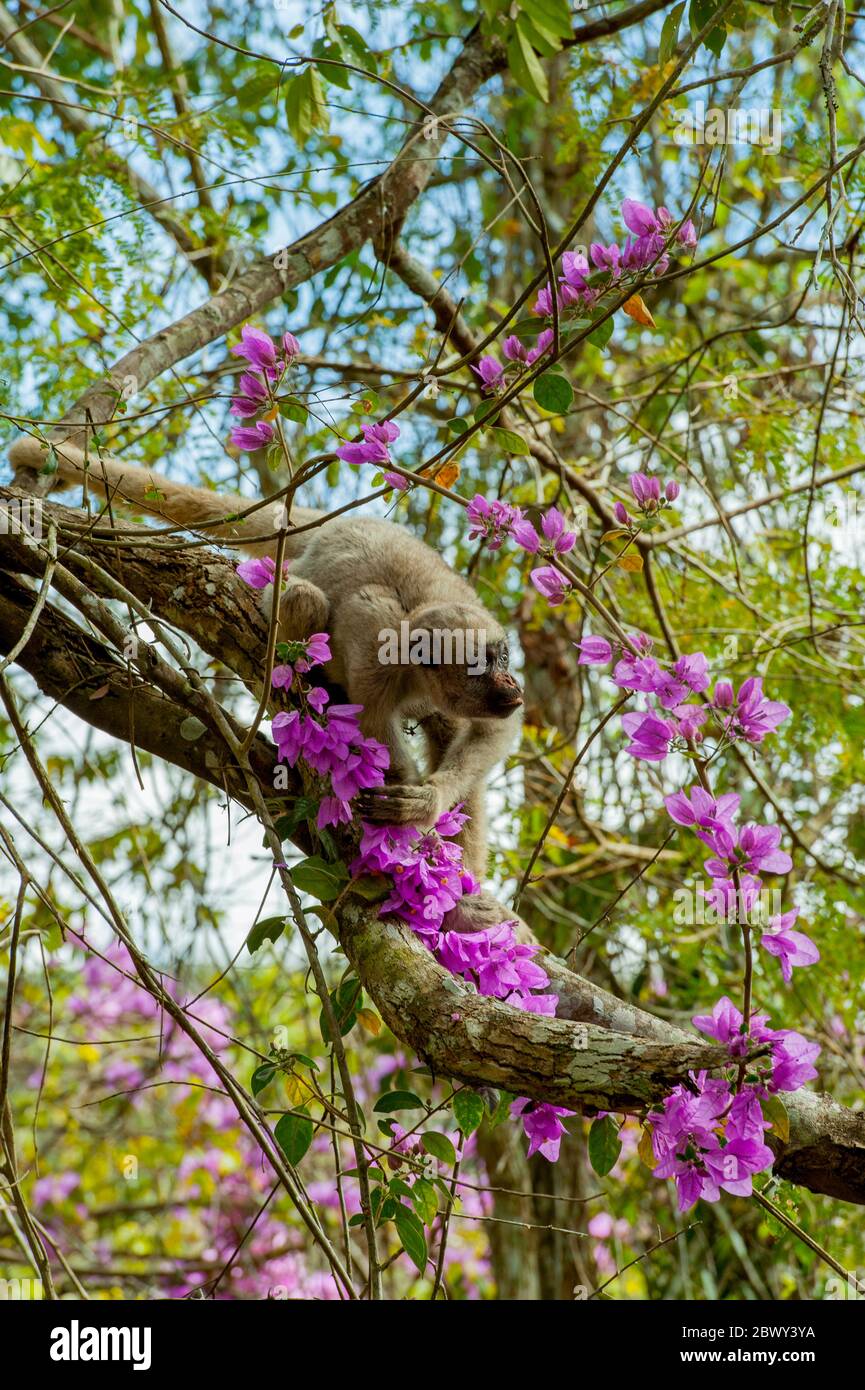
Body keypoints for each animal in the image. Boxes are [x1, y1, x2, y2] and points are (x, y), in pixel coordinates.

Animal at [8, 436, 523, 878]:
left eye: (503, 658)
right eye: (482, 666)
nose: (512, 685)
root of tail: (330, 524)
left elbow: (492, 732)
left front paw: (424, 803)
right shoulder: (375, 636)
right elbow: (373, 723)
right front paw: (403, 803)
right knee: (302, 599)